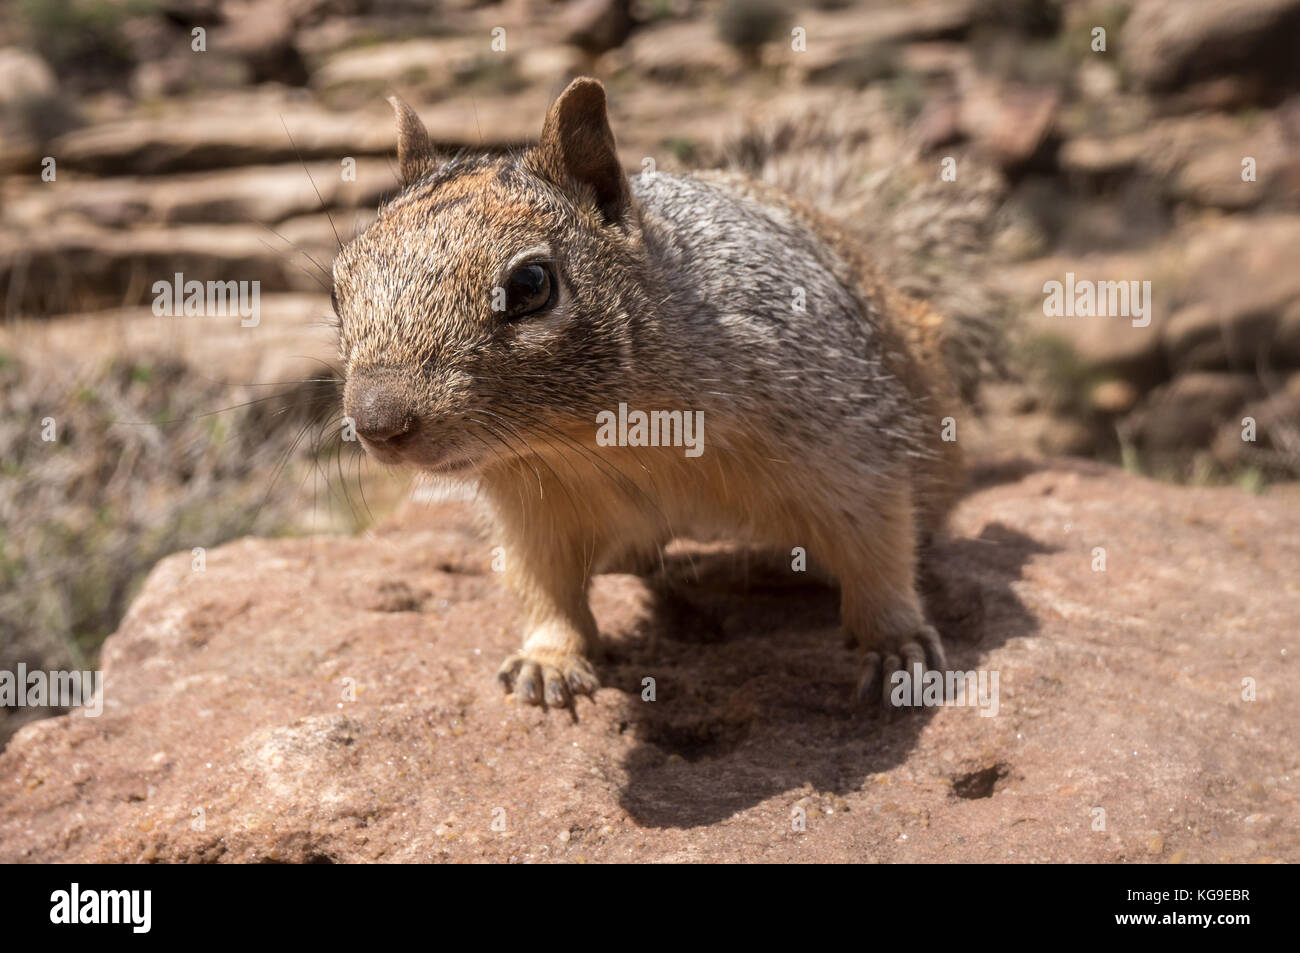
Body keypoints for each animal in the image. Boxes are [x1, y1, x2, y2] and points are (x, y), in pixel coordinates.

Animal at [332, 77, 965, 712]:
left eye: (531, 285)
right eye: (339, 289)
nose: (378, 424)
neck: (607, 434)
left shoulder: (846, 434)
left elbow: (876, 546)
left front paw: (894, 645)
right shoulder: (532, 505)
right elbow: (545, 584)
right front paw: (549, 658)